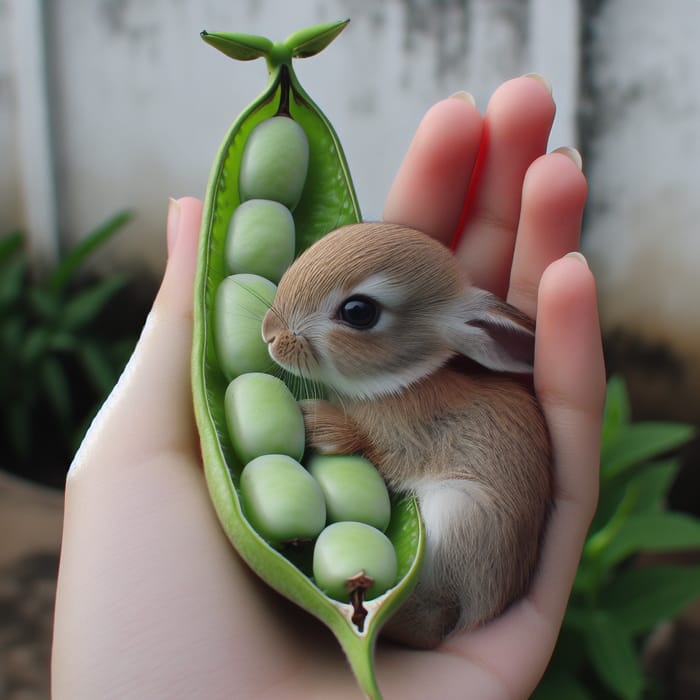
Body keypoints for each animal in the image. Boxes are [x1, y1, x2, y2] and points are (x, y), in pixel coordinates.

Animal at [261, 222, 552, 650]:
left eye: (359, 312)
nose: (270, 333)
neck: (399, 383)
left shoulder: (408, 440)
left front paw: (317, 422)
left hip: (457, 514)